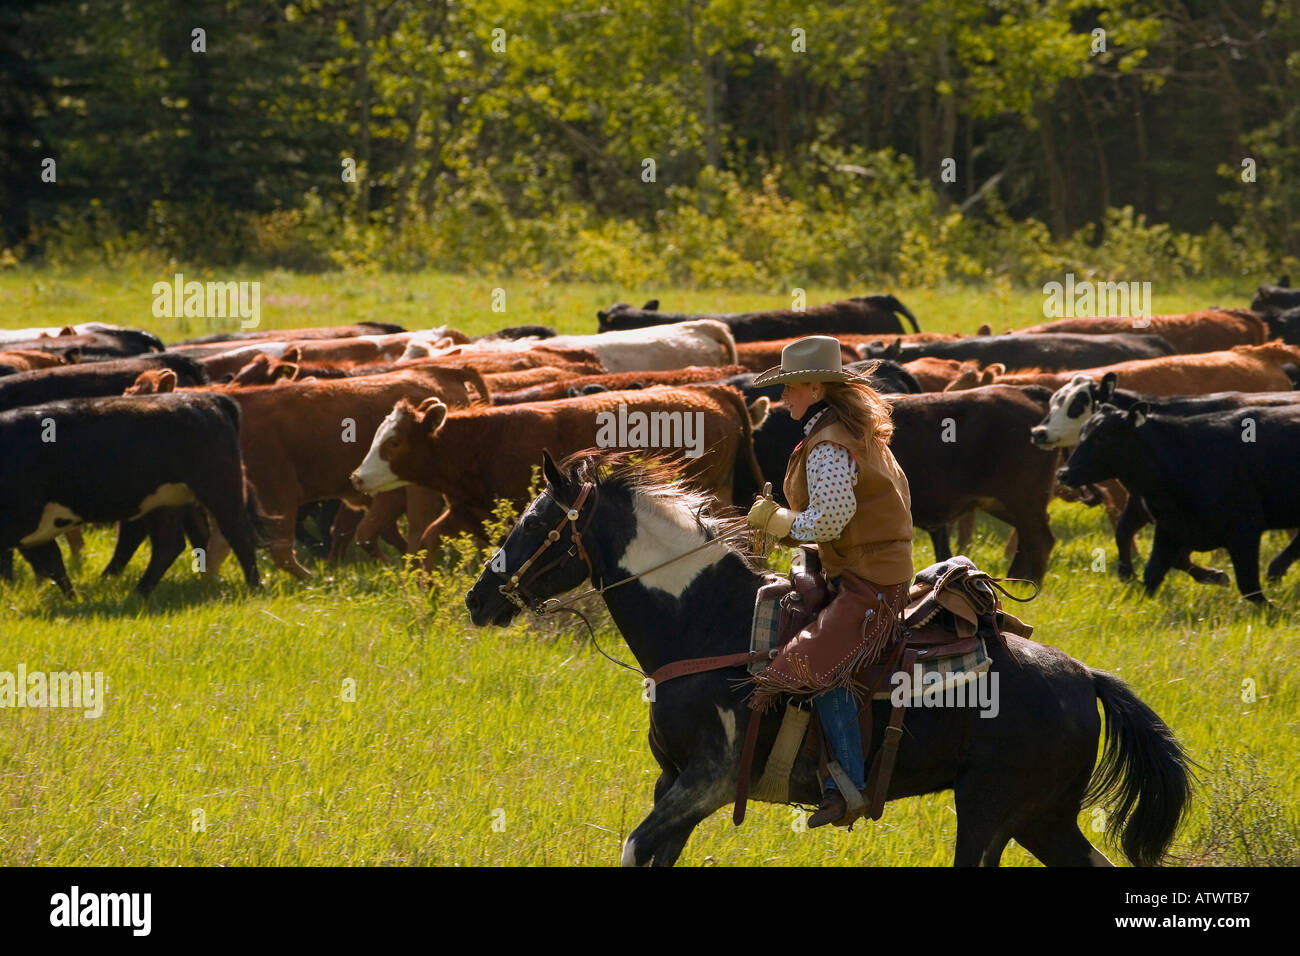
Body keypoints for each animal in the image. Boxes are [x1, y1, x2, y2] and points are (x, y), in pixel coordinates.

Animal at [0, 393, 260, 597]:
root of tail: (207, 398)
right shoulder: (34, 532)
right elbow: (53, 564)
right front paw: (73, 599)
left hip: (219, 490)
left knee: (240, 535)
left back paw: (254, 586)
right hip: (163, 502)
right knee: (169, 545)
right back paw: (138, 592)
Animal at [349, 385, 770, 565]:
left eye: (394, 442)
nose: (357, 477)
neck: (485, 439)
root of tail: (714, 392)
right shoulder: (467, 512)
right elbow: (428, 539)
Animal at [1029, 372, 1300, 583]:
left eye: (1078, 403)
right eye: (1054, 401)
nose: (1038, 432)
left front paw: (1213, 575)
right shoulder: (1144, 502)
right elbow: (1125, 532)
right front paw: (1128, 576)